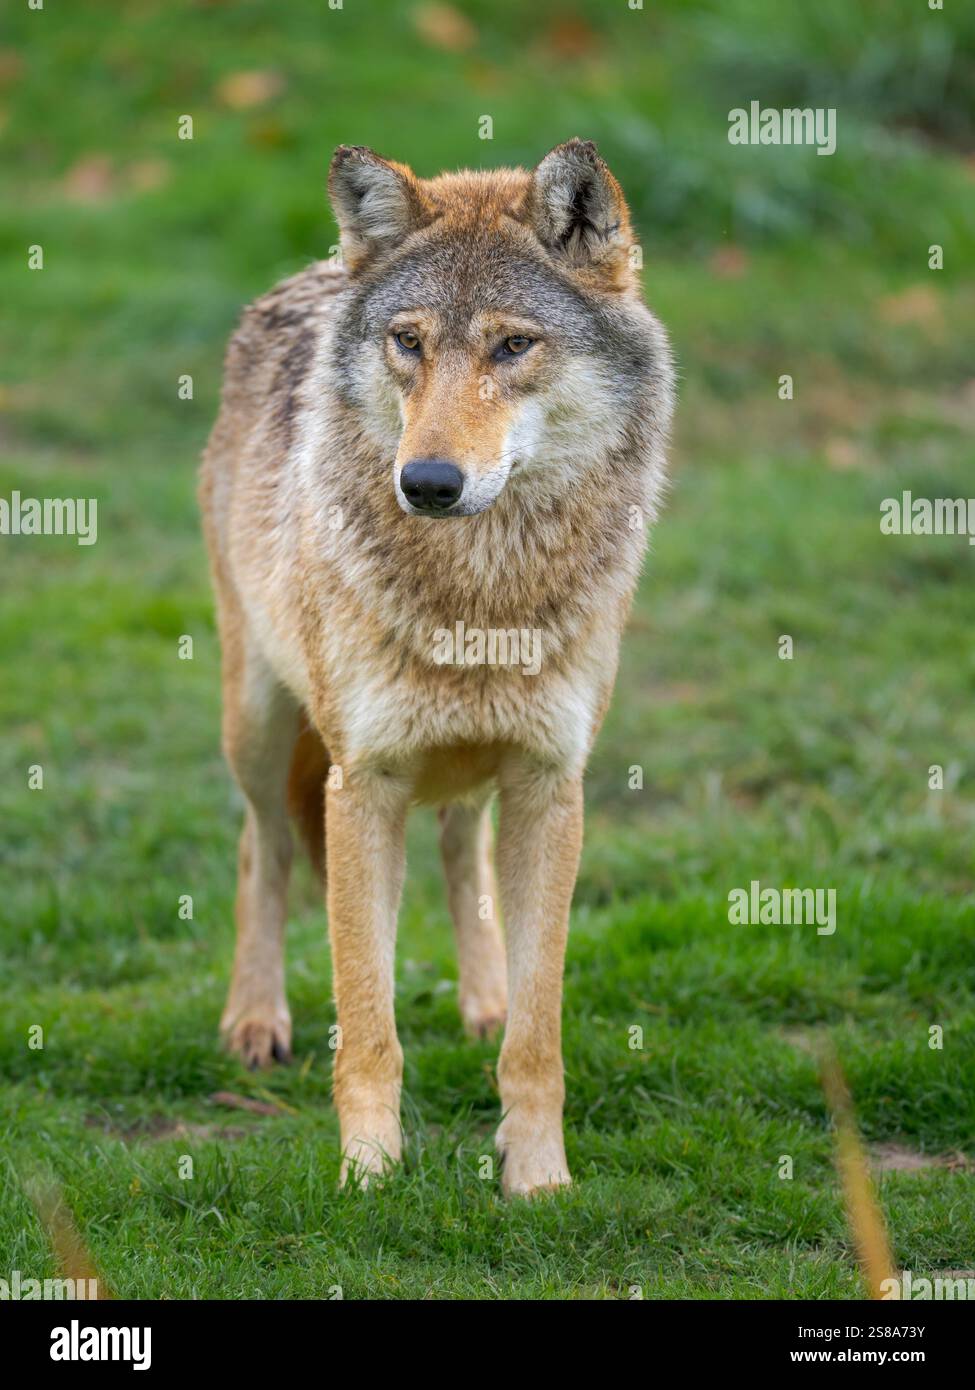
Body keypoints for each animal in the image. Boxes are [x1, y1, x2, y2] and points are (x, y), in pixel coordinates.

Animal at [200, 139, 674, 1197]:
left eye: (513, 346)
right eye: (409, 343)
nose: (426, 483)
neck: (481, 604)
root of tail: (304, 277)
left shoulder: (550, 784)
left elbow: (538, 1039)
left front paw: (538, 1181)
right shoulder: (361, 785)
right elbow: (367, 1027)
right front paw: (368, 1179)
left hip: (465, 775)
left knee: (463, 853)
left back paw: (481, 999)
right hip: (258, 725)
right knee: (259, 847)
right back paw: (255, 1023)